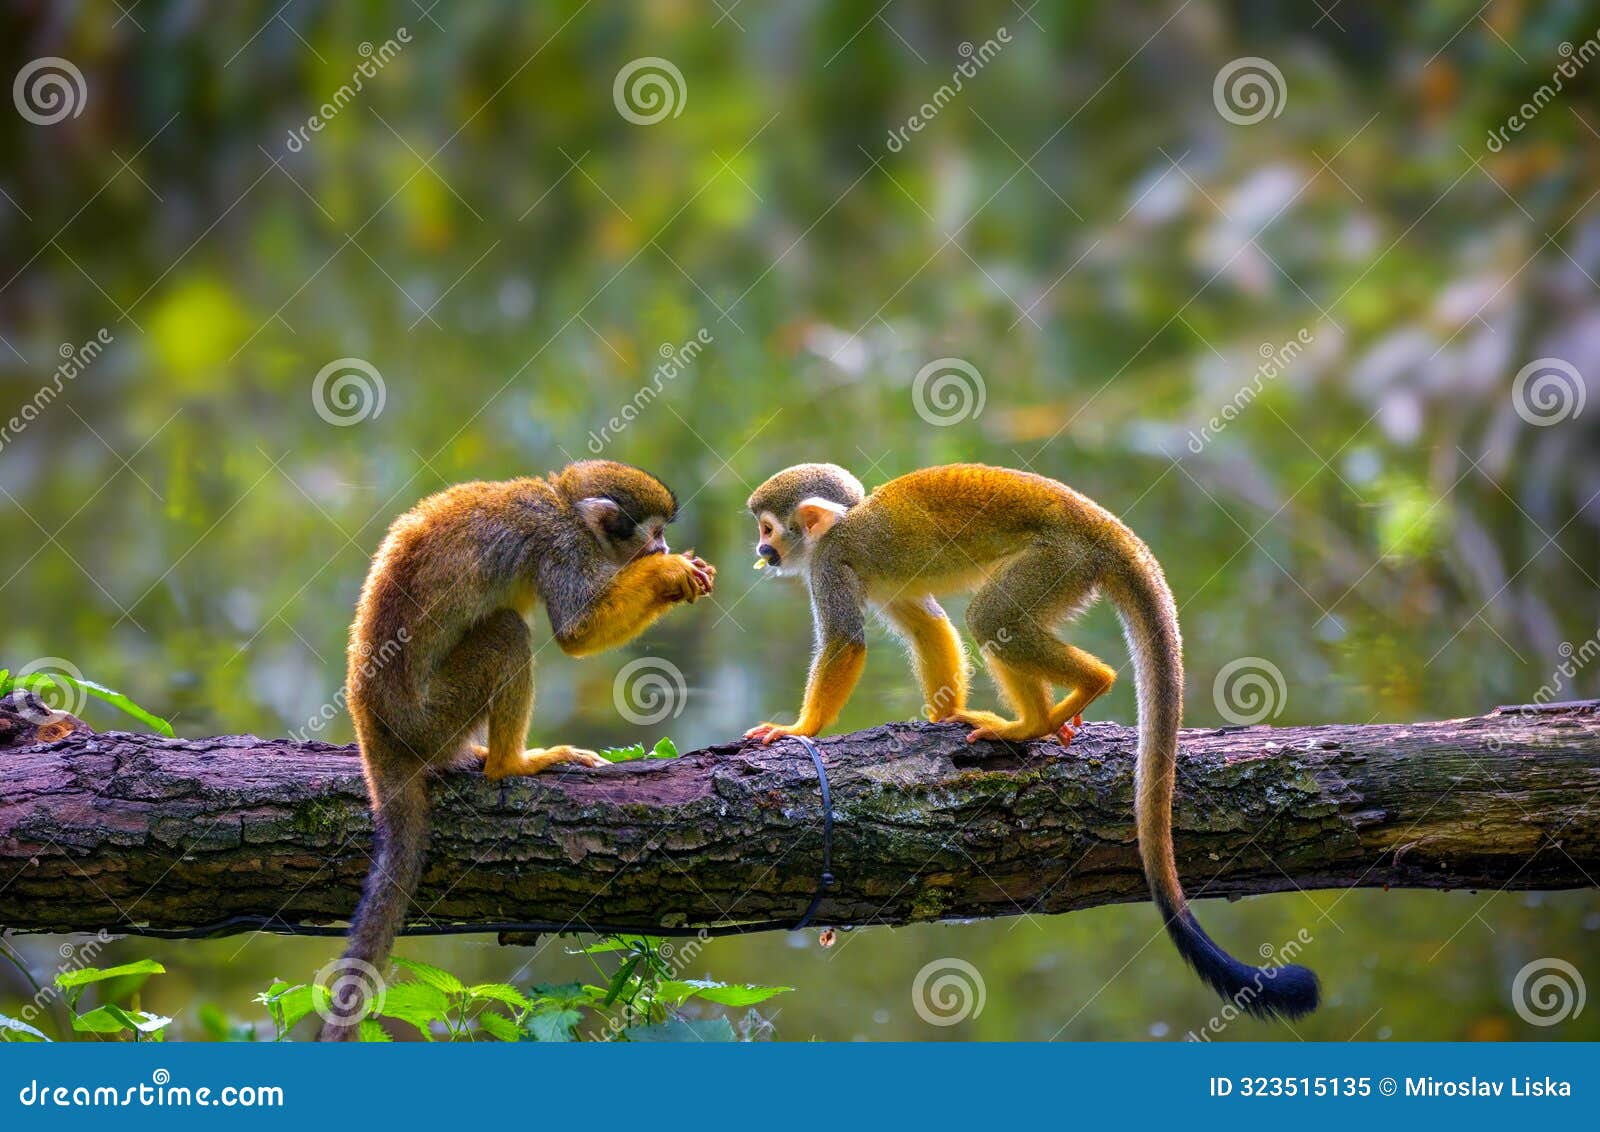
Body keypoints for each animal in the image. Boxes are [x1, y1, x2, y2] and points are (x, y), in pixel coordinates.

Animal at [318, 460, 714, 1041]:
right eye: (655, 532)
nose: (662, 549)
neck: (565, 505)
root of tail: (375, 727)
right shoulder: (563, 548)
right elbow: (576, 630)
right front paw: (670, 575)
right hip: (434, 718)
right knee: (506, 630)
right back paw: (512, 762)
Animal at [742, 462, 1318, 1020]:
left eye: (768, 528)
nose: (761, 552)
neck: (842, 524)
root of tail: (1102, 524)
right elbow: (927, 624)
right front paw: (946, 713)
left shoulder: (830, 566)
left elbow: (846, 643)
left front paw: (800, 730)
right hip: (1070, 572)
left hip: (1056, 560)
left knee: (993, 618)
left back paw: (1064, 702)